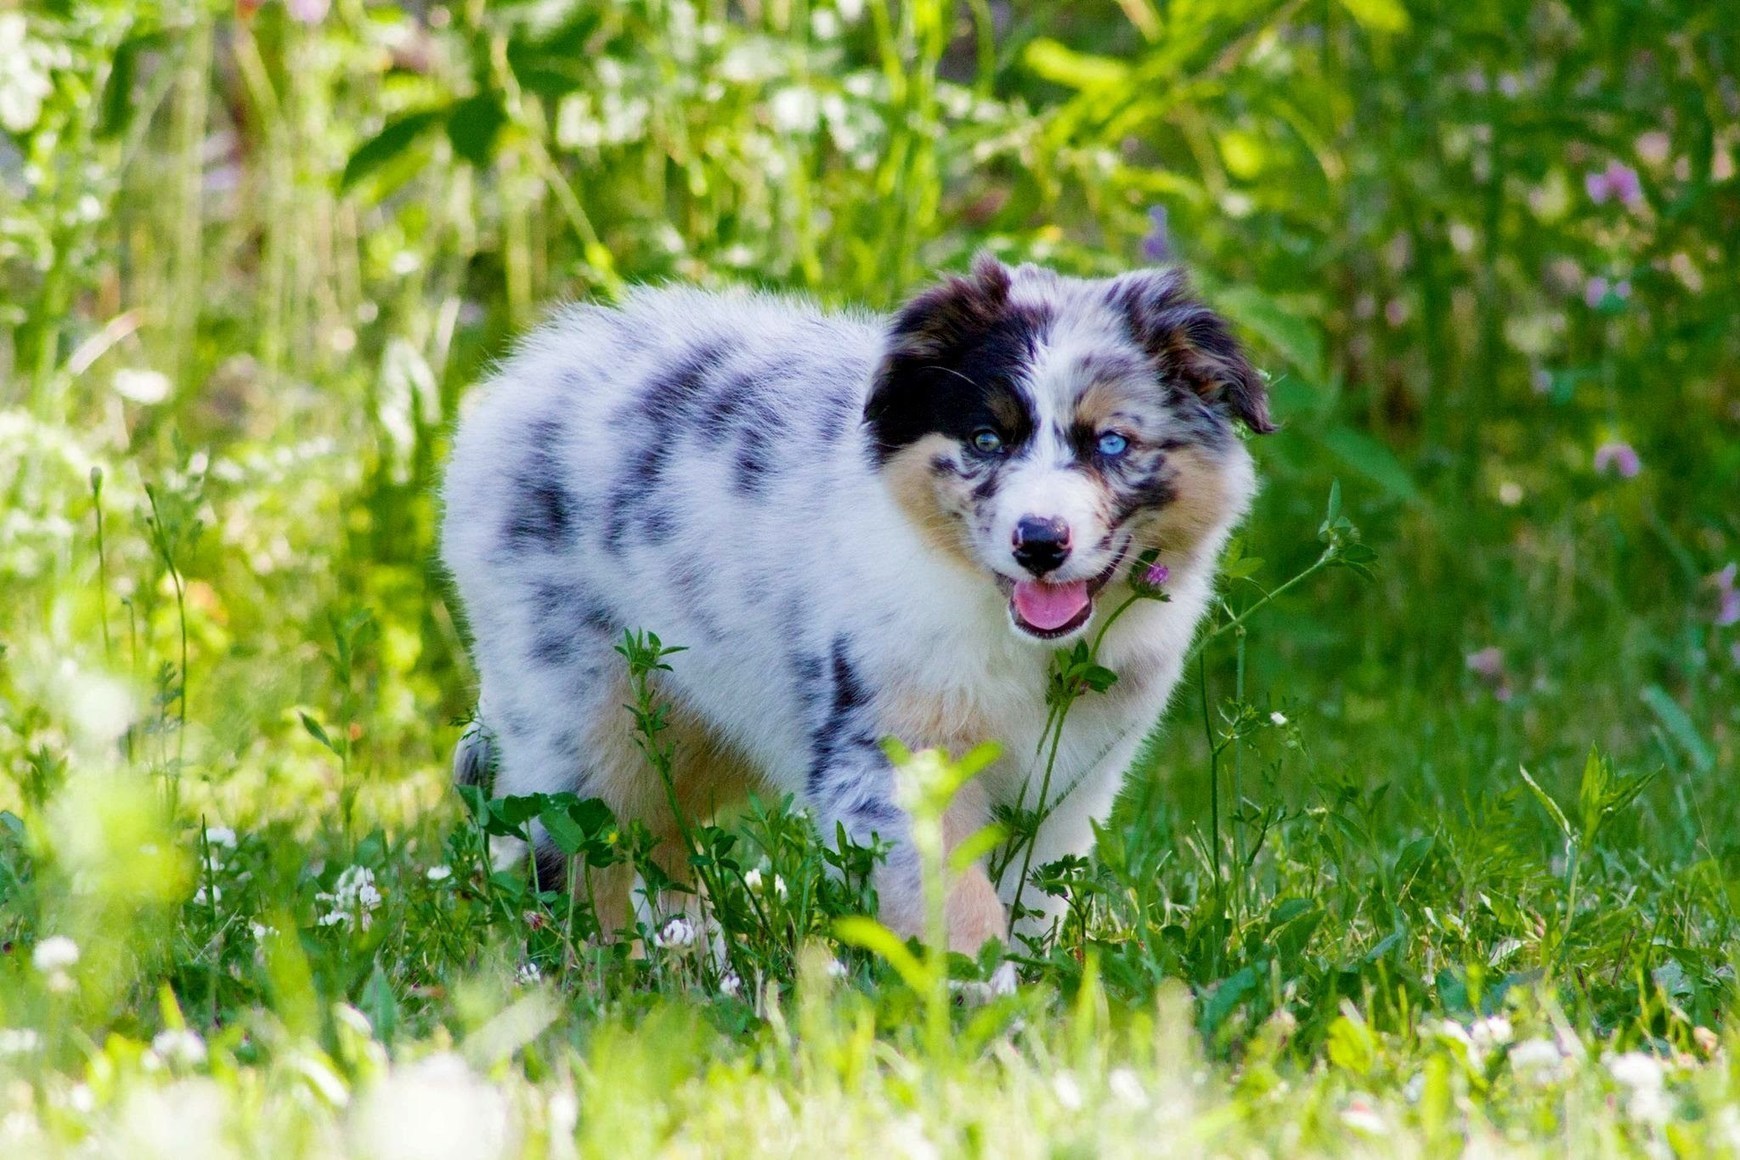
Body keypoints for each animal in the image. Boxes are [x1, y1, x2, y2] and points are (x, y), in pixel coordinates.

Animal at [441, 259, 1273, 959]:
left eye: (1112, 443)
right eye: (985, 439)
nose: (1039, 542)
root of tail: (519, 382)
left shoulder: (1073, 778)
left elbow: (1033, 898)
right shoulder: (890, 751)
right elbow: (954, 897)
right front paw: (977, 1002)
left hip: (704, 718)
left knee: (661, 841)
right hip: (580, 713)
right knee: (580, 850)